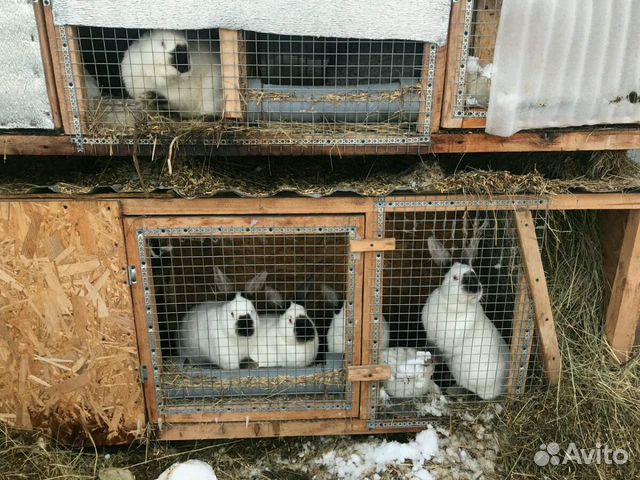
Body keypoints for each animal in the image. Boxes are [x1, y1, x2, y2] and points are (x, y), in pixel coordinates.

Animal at [421, 227, 509, 401]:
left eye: (474, 273)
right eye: (455, 277)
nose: (476, 288)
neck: (452, 307)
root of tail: (504, 384)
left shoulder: (447, 346)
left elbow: (439, 355)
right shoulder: (431, 337)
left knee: (477, 393)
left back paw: (454, 390)